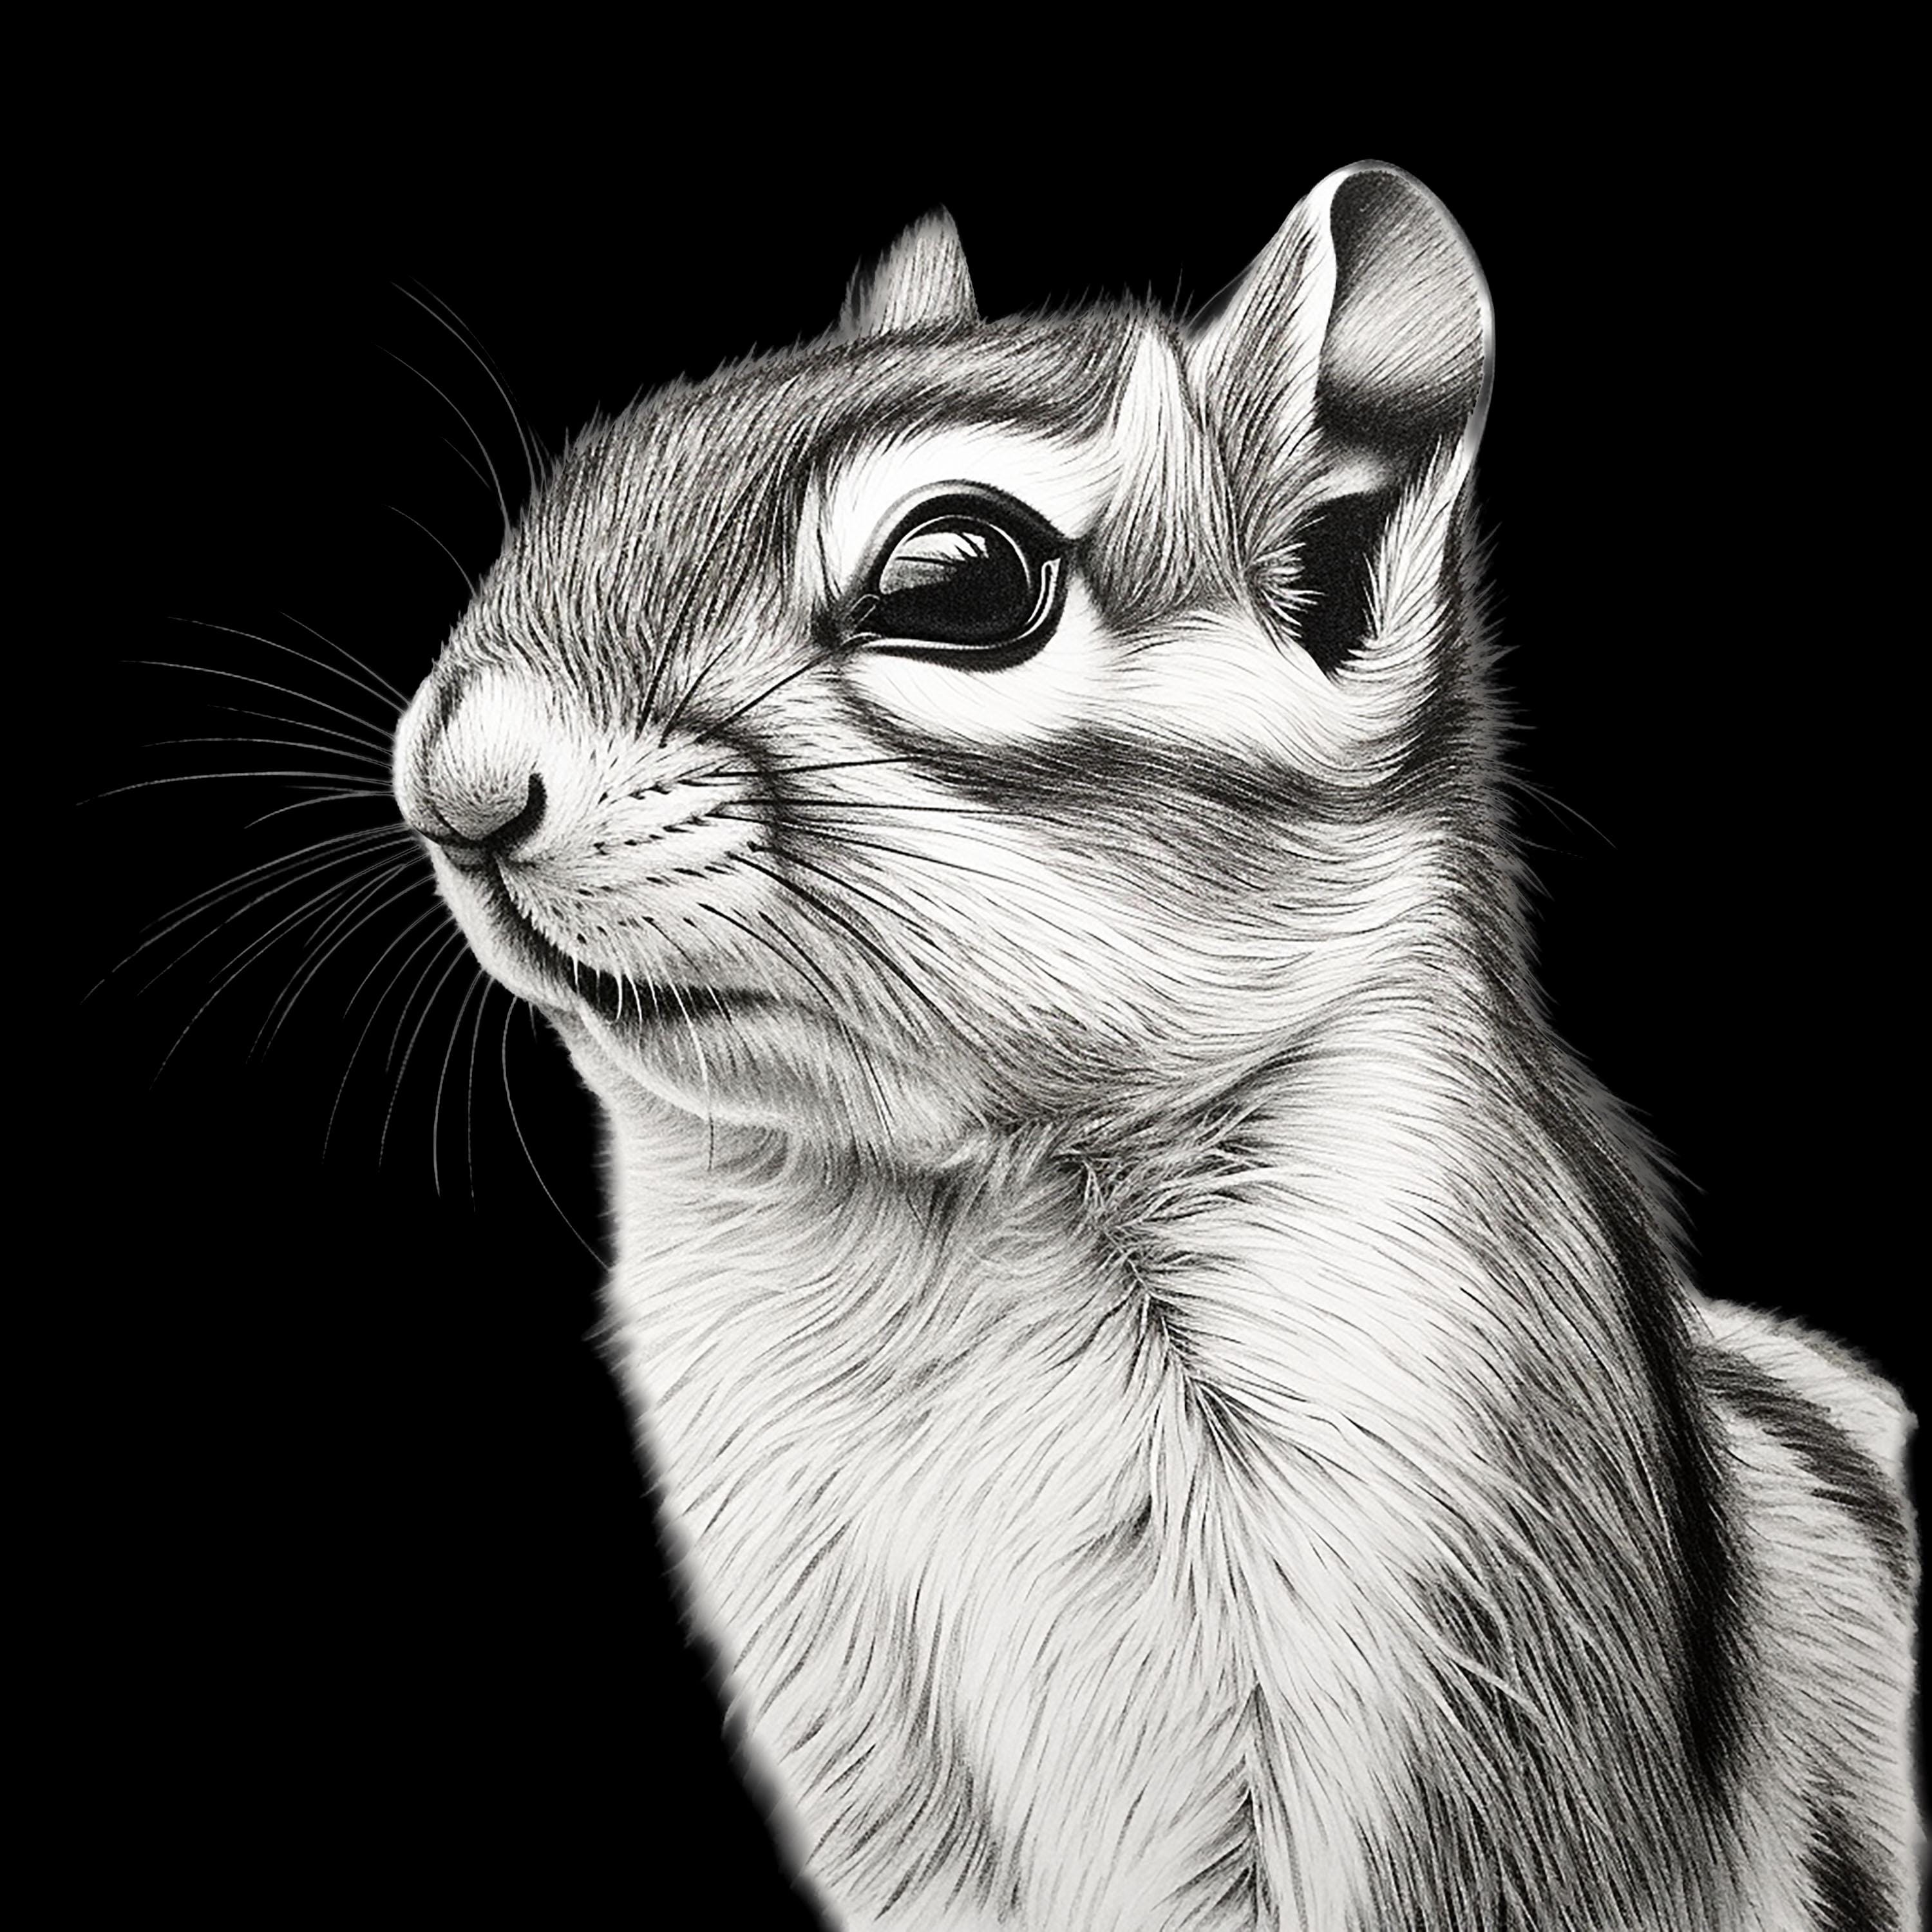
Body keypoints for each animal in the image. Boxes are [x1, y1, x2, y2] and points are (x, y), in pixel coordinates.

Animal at [389, 164, 1918, 1930]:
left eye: (958, 580)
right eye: (602, 460)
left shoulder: (1430, 1682)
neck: (927, 1208)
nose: (453, 786)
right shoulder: (862, 1744)